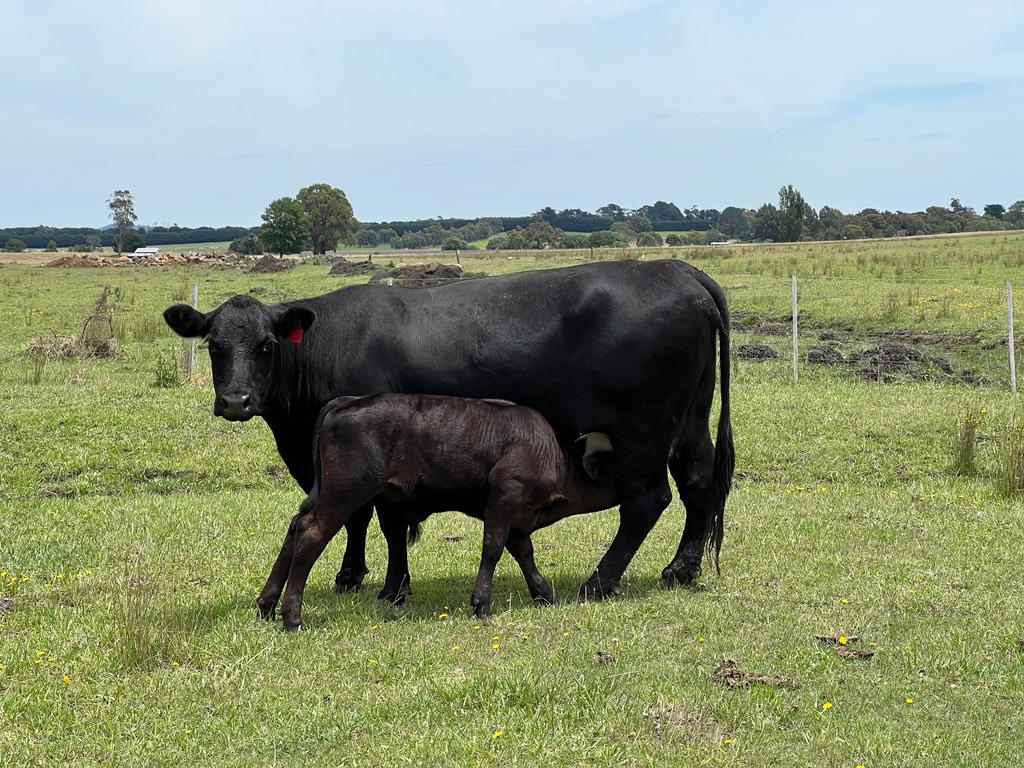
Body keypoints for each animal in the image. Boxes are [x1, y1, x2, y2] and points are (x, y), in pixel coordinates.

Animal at [163, 258, 733, 600]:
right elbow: (357, 519)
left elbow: (377, 518)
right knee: (698, 482)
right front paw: (356, 576)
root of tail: (679, 271)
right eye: (214, 344)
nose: (235, 401)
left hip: (643, 429)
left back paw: (599, 581)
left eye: (266, 345)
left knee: (647, 499)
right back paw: (682, 569)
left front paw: (377, 583)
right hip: (689, 419)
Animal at [256, 393, 620, 630]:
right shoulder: (506, 493)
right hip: (344, 493)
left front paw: (543, 593)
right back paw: (292, 616)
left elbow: (522, 550)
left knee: (295, 526)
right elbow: (493, 547)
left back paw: (266, 604)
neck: (551, 452)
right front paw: (482, 603)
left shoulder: (518, 514)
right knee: (310, 534)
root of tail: (344, 402)